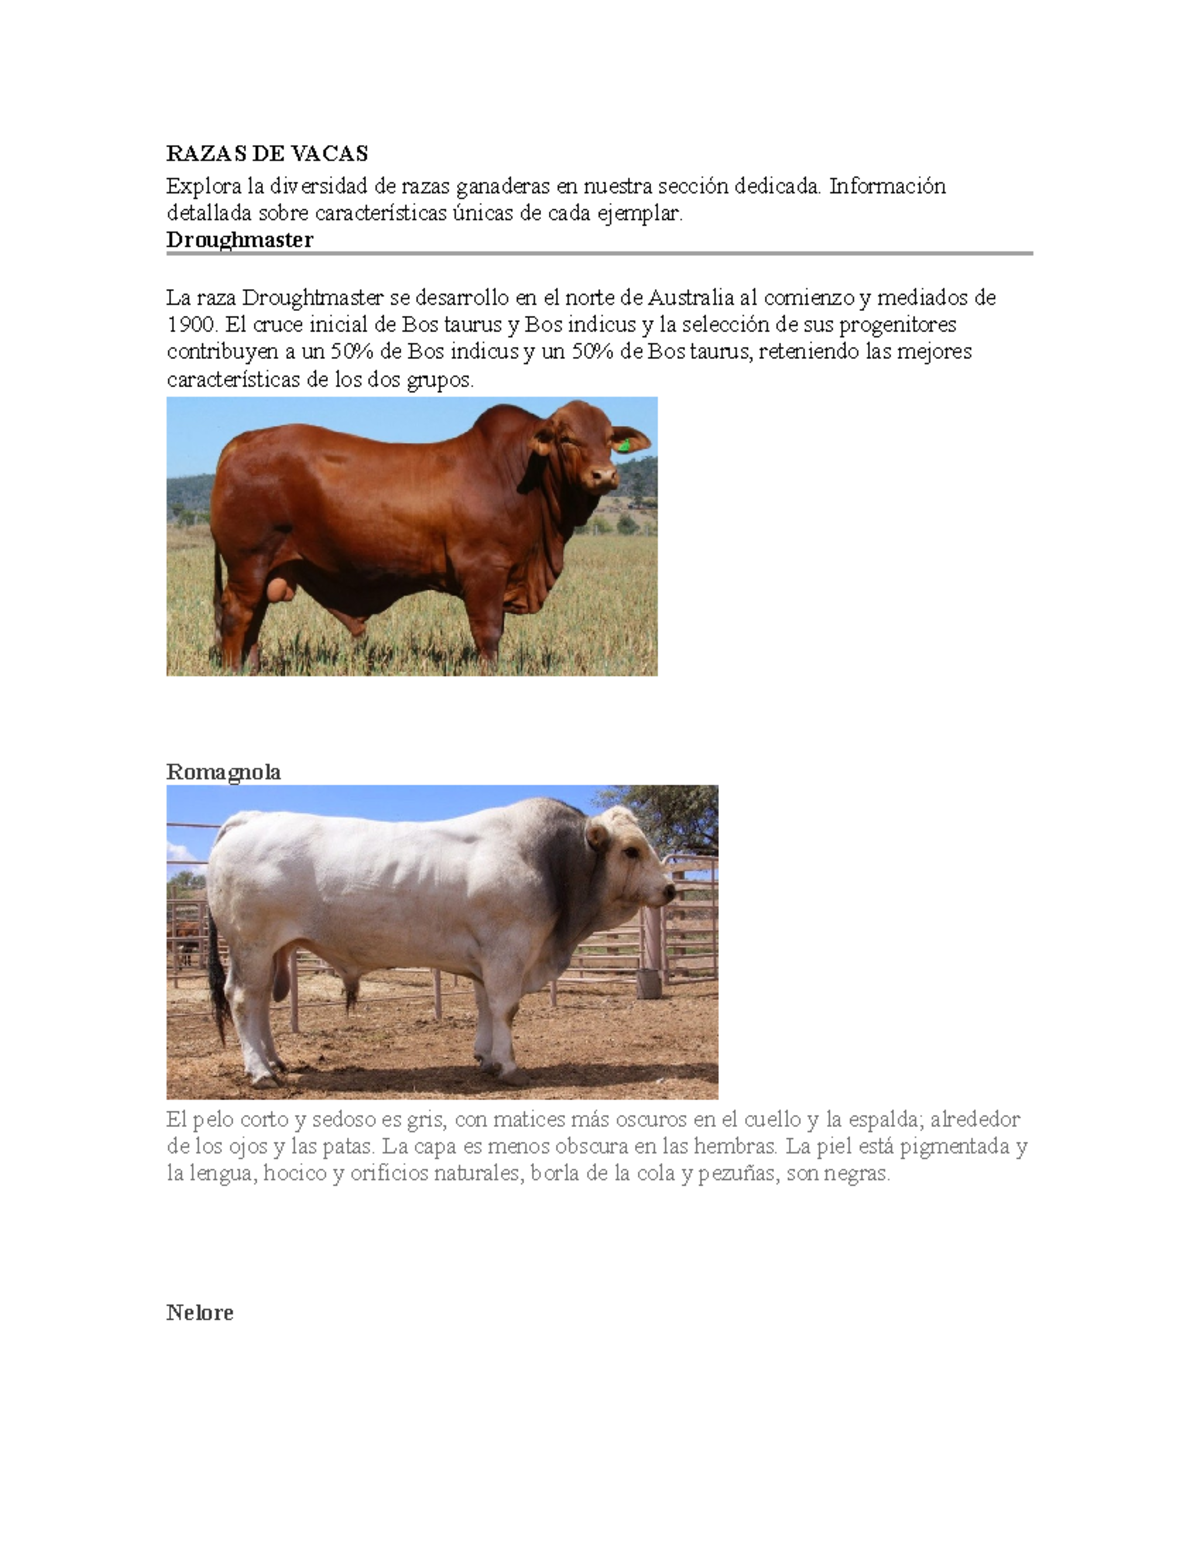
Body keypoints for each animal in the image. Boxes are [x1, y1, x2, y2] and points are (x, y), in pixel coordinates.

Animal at [206, 799, 676, 1088]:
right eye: (631, 850)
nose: (670, 888)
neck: (549, 862)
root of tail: (249, 818)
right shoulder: (508, 951)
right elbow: (506, 1008)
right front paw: (509, 1066)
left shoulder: (487, 958)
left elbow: (485, 1006)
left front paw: (486, 1058)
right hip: (251, 945)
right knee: (244, 1000)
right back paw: (260, 1072)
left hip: (269, 952)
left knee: (260, 1004)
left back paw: (274, 1061)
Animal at [209, 401, 651, 672]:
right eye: (566, 438)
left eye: (610, 440)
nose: (604, 475)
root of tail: (240, 442)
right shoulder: (484, 571)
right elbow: (488, 634)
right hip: (249, 562)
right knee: (237, 615)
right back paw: (234, 671)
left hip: (268, 567)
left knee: (254, 621)